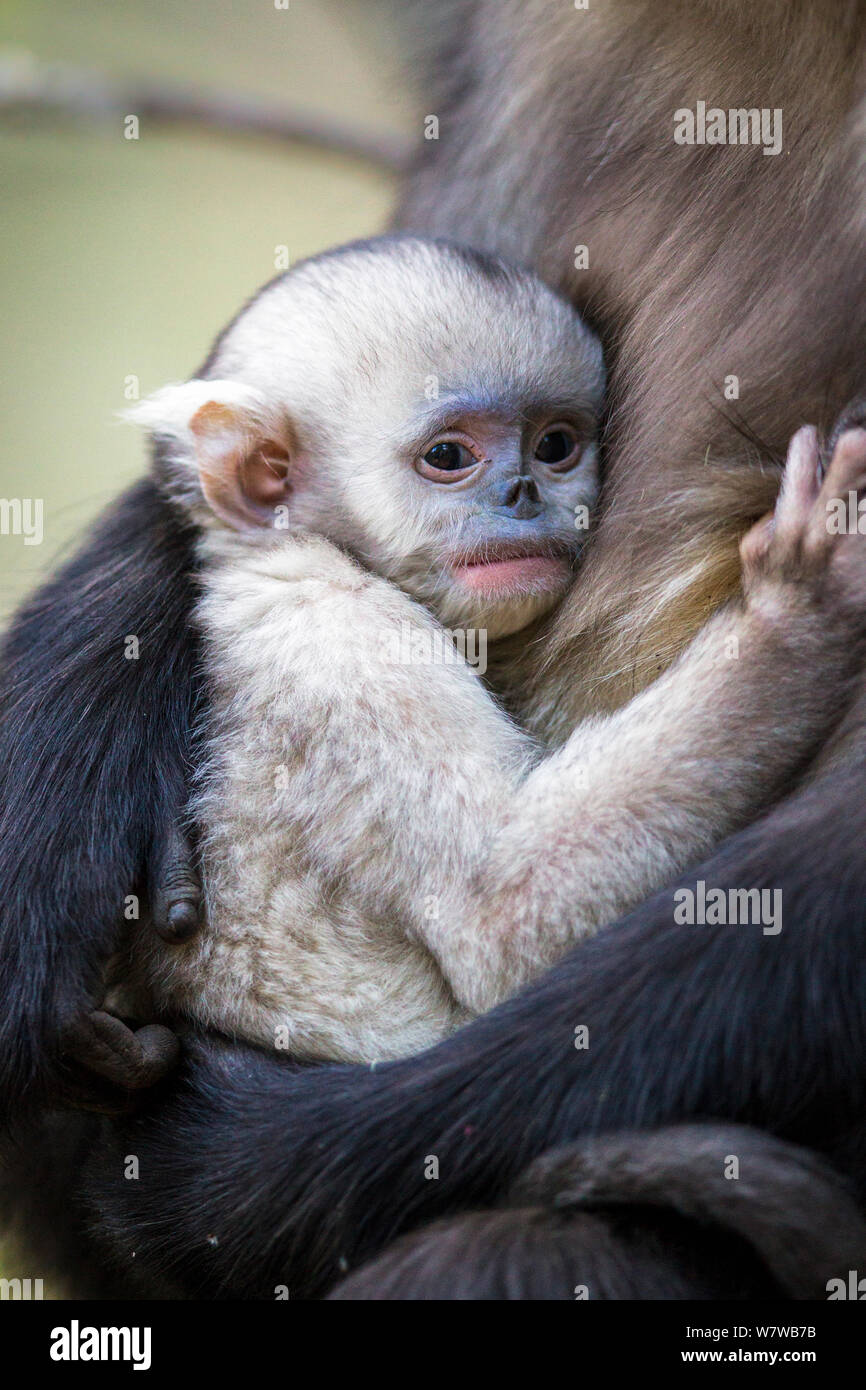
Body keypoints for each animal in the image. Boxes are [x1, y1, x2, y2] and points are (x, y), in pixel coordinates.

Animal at [3, 0, 866, 1301]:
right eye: (451, 457)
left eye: (557, 444)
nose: (523, 495)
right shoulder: (341, 645)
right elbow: (502, 911)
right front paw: (798, 608)